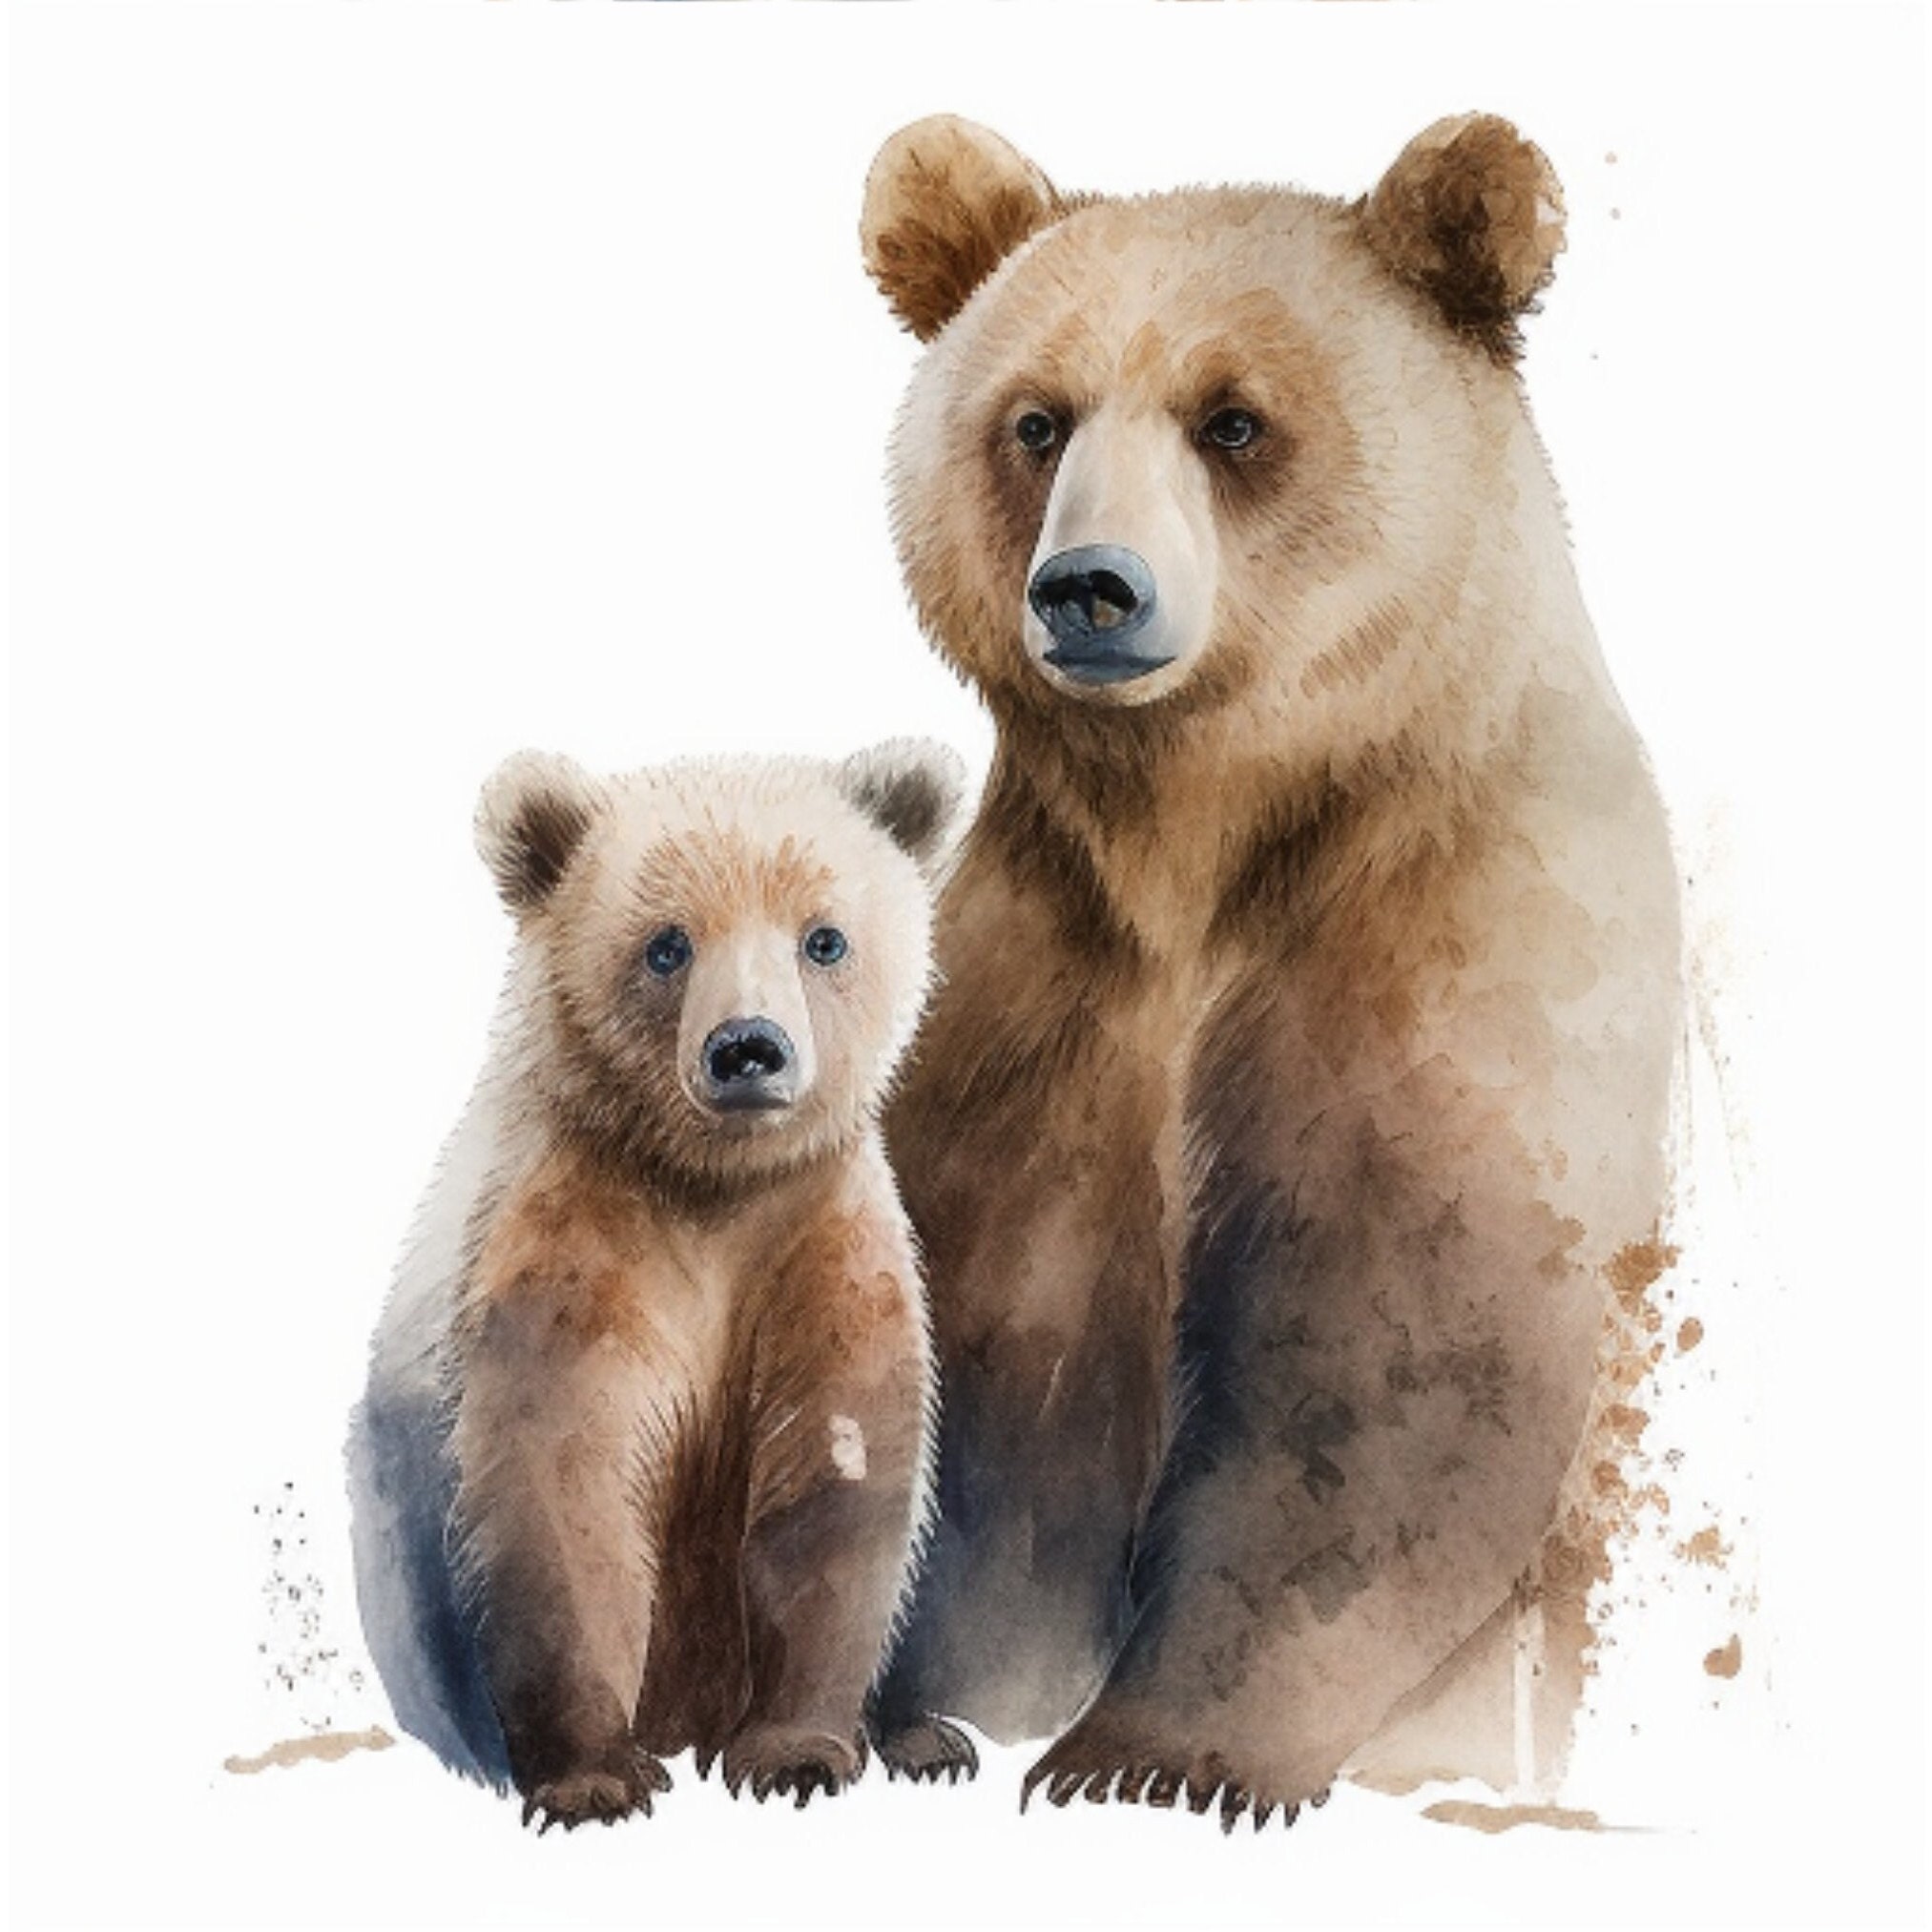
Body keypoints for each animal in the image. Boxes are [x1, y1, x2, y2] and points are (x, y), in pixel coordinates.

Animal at [347, 739, 966, 1828]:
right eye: (666, 944)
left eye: (824, 938)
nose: (749, 1046)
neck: (711, 1188)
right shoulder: (577, 1249)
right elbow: (567, 1489)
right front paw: (595, 1776)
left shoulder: (817, 1247)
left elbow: (831, 1478)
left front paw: (797, 1752)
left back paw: (925, 1736)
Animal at [857, 115, 1683, 1822]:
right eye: (1035, 419)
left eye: (1234, 419)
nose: (1089, 589)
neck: (1206, 838)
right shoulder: (1035, 998)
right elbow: (986, 1356)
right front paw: (932, 1709)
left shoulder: (1457, 969)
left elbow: (1389, 1372)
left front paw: (1145, 1754)